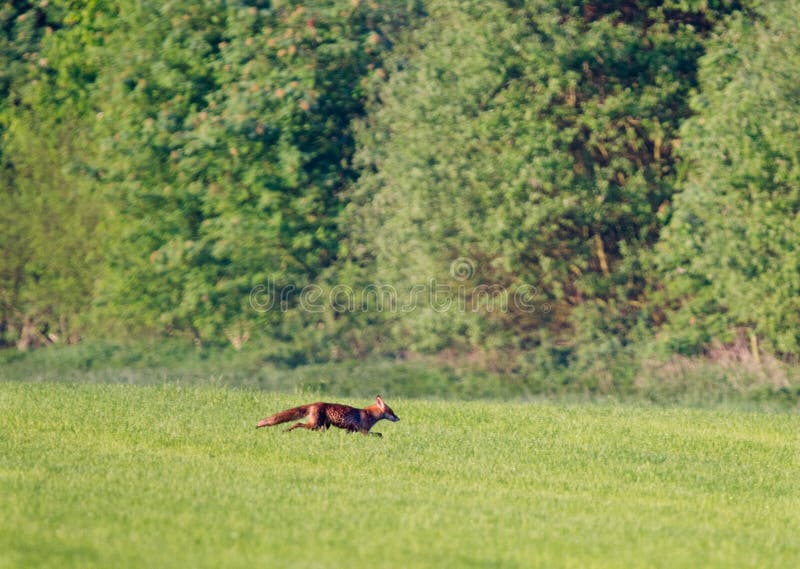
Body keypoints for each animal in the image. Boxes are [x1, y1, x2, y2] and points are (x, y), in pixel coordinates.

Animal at [255, 395, 400, 437]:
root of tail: (315, 403)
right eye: (391, 412)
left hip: (322, 426)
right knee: (297, 424)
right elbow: (378, 434)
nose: (399, 418)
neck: (369, 415)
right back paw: (286, 431)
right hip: (314, 425)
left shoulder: (351, 430)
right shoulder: (363, 430)